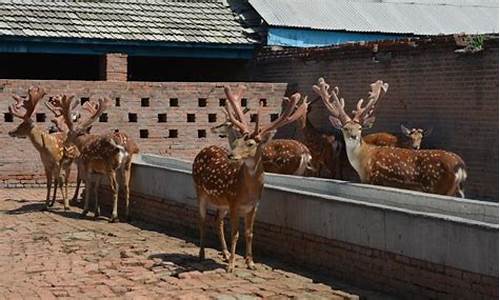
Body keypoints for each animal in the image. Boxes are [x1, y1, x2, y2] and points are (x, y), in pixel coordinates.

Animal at [192, 84, 306, 272]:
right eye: (237, 142)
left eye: (251, 144)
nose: (231, 155)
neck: (248, 192)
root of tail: (203, 149)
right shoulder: (234, 203)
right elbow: (235, 233)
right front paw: (231, 265)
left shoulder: (253, 206)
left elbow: (250, 233)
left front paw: (250, 262)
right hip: (199, 191)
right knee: (202, 219)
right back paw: (202, 254)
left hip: (221, 202)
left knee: (217, 220)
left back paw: (224, 253)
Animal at [312, 78, 468, 198]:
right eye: (345, 128)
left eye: (360, 128)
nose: (354, 136)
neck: (363, 160)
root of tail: (460, 167)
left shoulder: (371, 180)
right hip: (456, 190)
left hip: (439, 187)